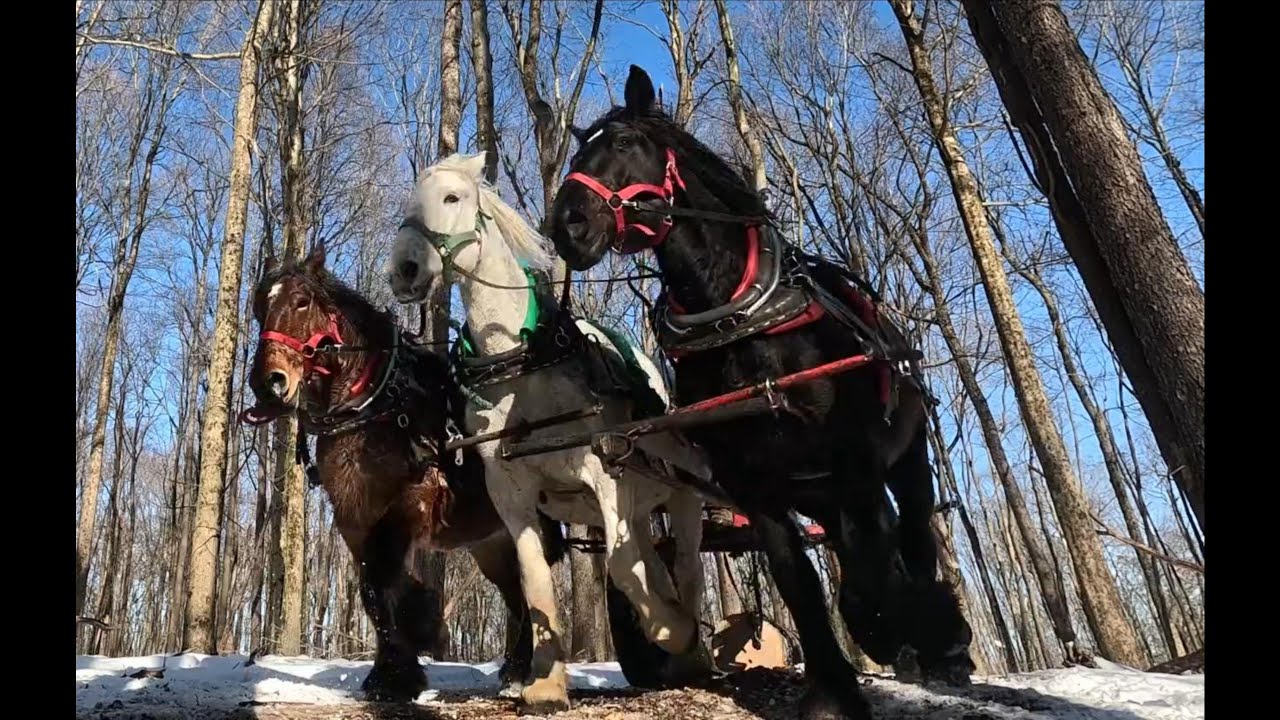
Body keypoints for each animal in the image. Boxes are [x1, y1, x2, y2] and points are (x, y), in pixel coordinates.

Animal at [241, 244, 569, 703]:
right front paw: (391, 671)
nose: (267, 384)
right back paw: (516, 669)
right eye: (258, 308)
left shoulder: (408, 506)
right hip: (491, 544)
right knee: (517, 596)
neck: (374, 405)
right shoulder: (353, 520)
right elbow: (372, 592)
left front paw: (411, 649)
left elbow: (385, 582)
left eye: (302, 301)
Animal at [386, 152, 712, 714]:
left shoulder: (604, 471)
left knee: (686, 564)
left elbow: (623, 568)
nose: (404, 269)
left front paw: (674, 631)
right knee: (649, 559)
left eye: (452, 197)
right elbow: (536, 576)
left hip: (681, 492)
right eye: (409, 201)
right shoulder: (510, 491)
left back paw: (690, 649)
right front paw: (545, 682)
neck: (520, 361)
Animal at [546, 65, 975, 720]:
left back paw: (938, 641)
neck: (741, 319)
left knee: (914, 536)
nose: (566, 223)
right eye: (576, 153)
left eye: (623, 143)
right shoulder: (756, 482)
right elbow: (799, 580)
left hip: (908, 459)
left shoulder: (854, 460)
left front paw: (888, 631)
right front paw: (831, 688)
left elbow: (873, 562)